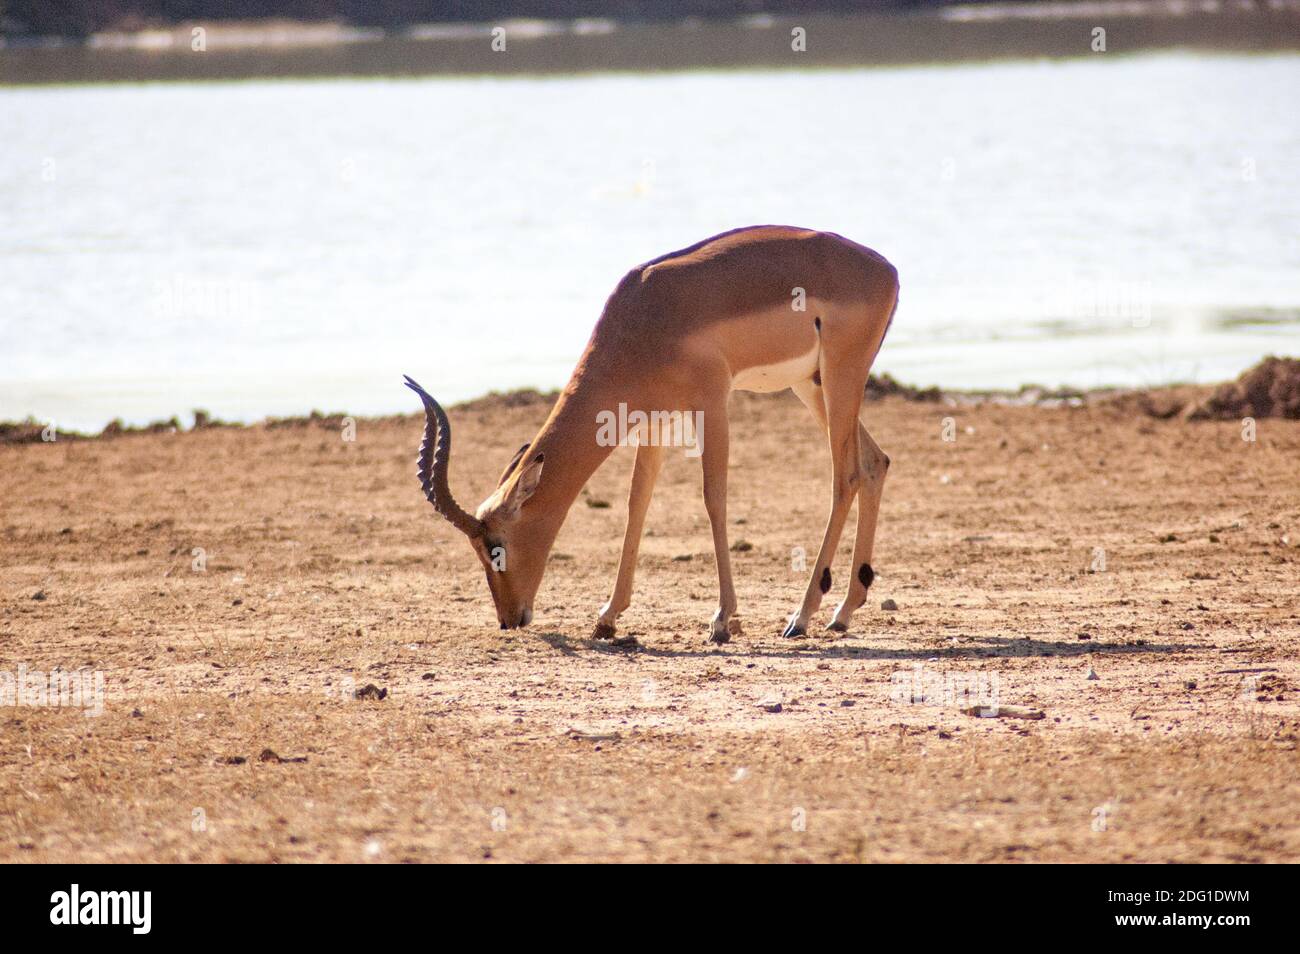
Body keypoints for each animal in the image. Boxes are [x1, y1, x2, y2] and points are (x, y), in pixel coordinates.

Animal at [405, 225, 899, 643]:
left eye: (496, 547)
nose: (509, 619)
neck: (643, 318)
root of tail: (886, 270)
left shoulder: (712, 403)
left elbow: (714, 498)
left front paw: (722, 620)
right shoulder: (654, 420)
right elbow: (636, 503)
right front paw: (608, 616)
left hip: (838, 379)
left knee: (845, 476)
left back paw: (802, 617)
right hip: (811, 385)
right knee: (875, 463)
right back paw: (843, 612)